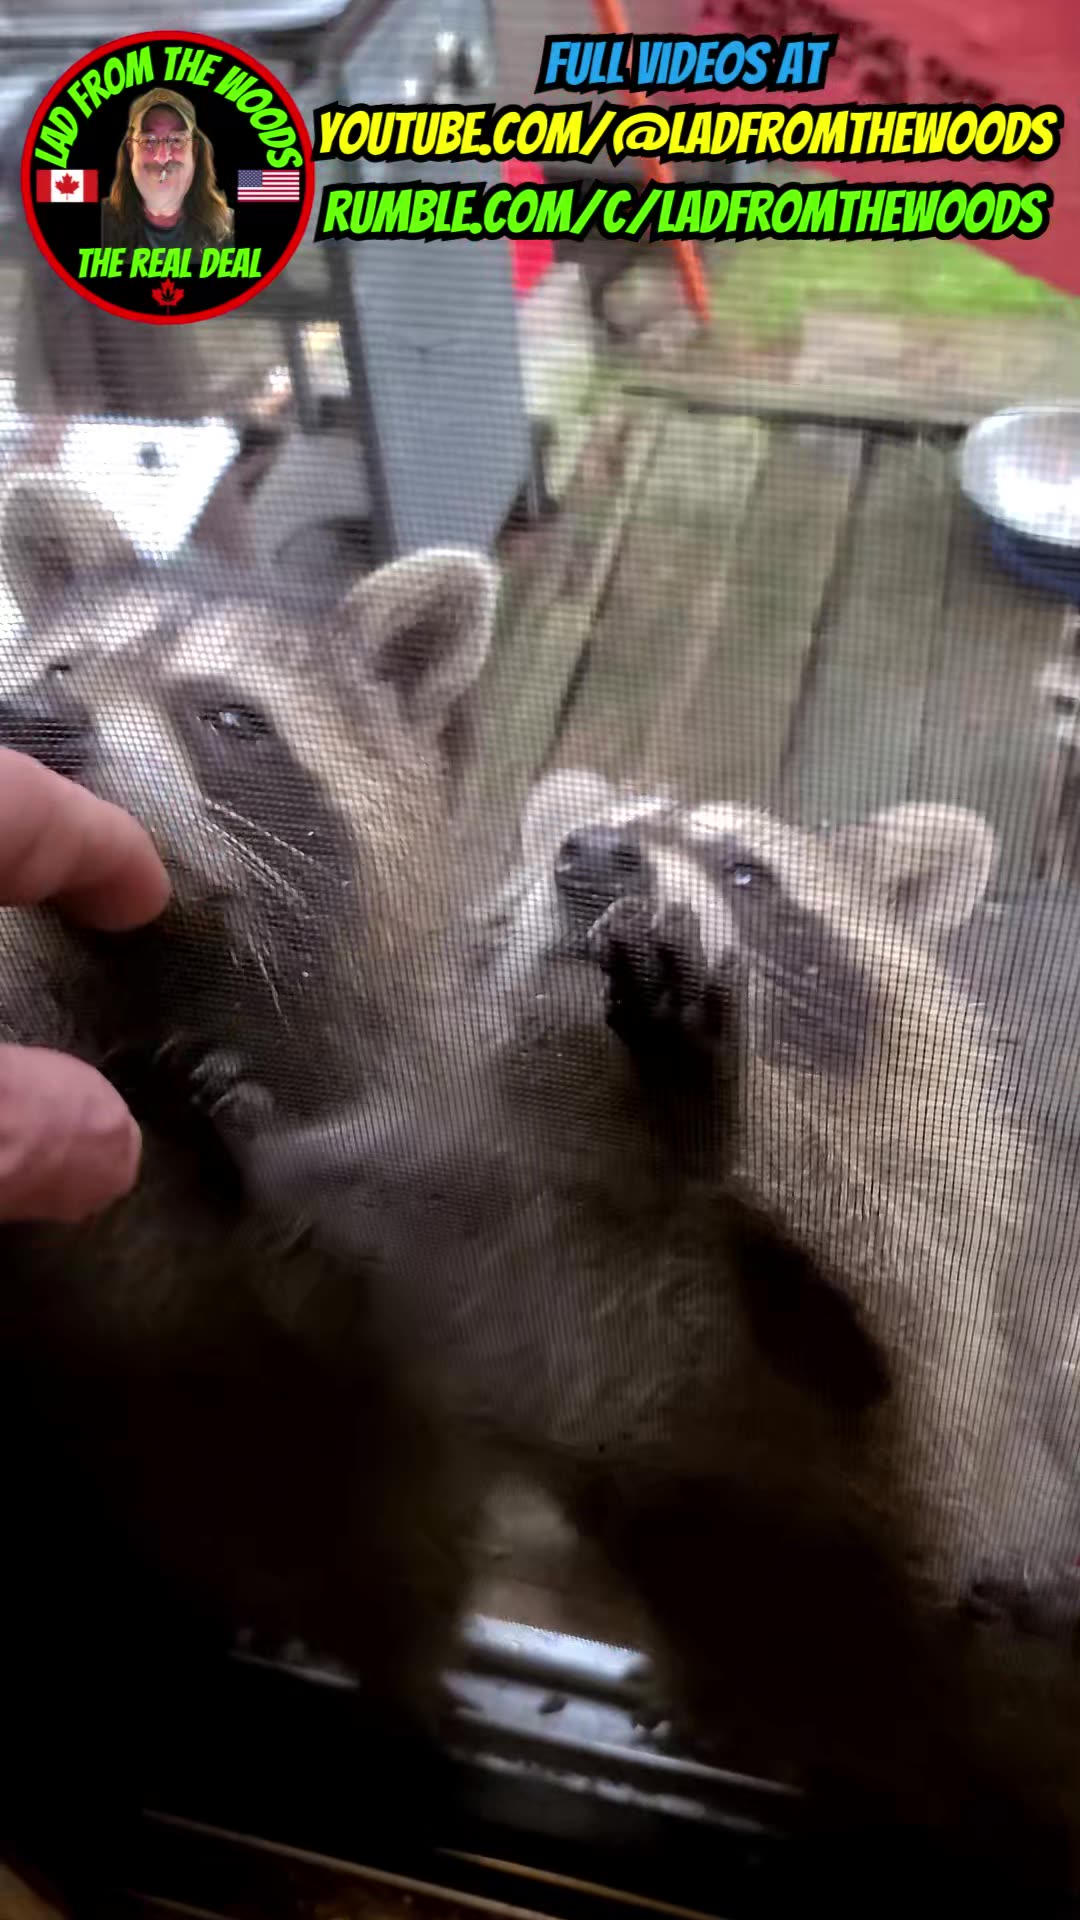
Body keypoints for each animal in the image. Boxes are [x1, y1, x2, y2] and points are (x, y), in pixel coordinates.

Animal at [0, 474, 498, 1904]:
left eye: (230, 718)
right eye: (56, 668)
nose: (38, 725)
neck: (153, 953)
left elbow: (368, 1308)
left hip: (394, 1526)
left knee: (406, 1598)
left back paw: (402, 1717)